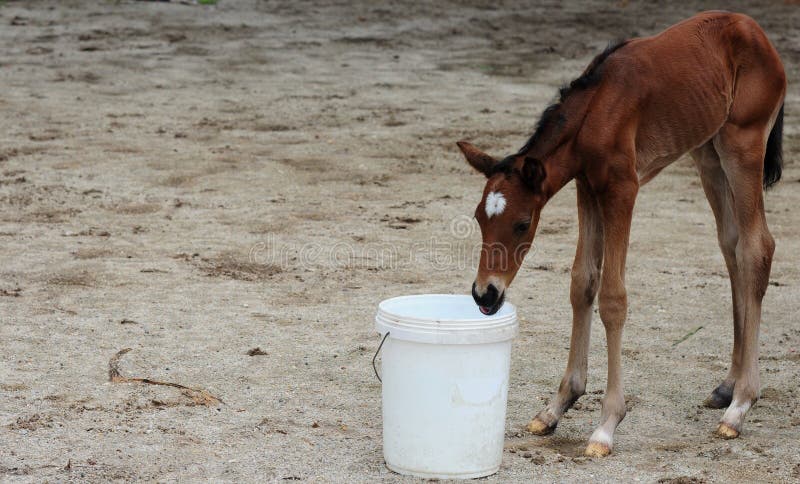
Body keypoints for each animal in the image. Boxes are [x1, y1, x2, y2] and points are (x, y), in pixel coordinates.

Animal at [457, 11, 786, 457]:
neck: (597, 109)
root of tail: (755, 31)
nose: (485, 295)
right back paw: (727, 387)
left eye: (523, 223)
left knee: (756, 248)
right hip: (708, 154)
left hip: (743, 144)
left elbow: (613, 298)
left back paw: (740, 406)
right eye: (478, 218)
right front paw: (557, 407)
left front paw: (606, 425)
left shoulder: (621, 190)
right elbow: (582, 283)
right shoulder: (586, 188)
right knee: (731, 247)